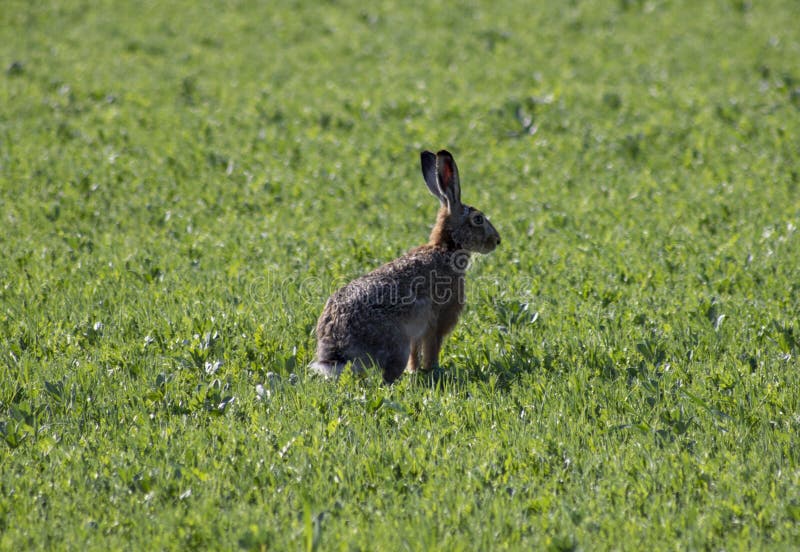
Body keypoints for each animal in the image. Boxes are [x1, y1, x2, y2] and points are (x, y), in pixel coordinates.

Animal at [310, 150, 501, 383]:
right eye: (478, 219)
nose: (497, 241)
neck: (446, 248)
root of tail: (336, 350)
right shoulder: (437, 321)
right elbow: (432, 348)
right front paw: (432, 370)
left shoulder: (417, 332)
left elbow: (416, 353)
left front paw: (416, 371)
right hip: (396, 345)